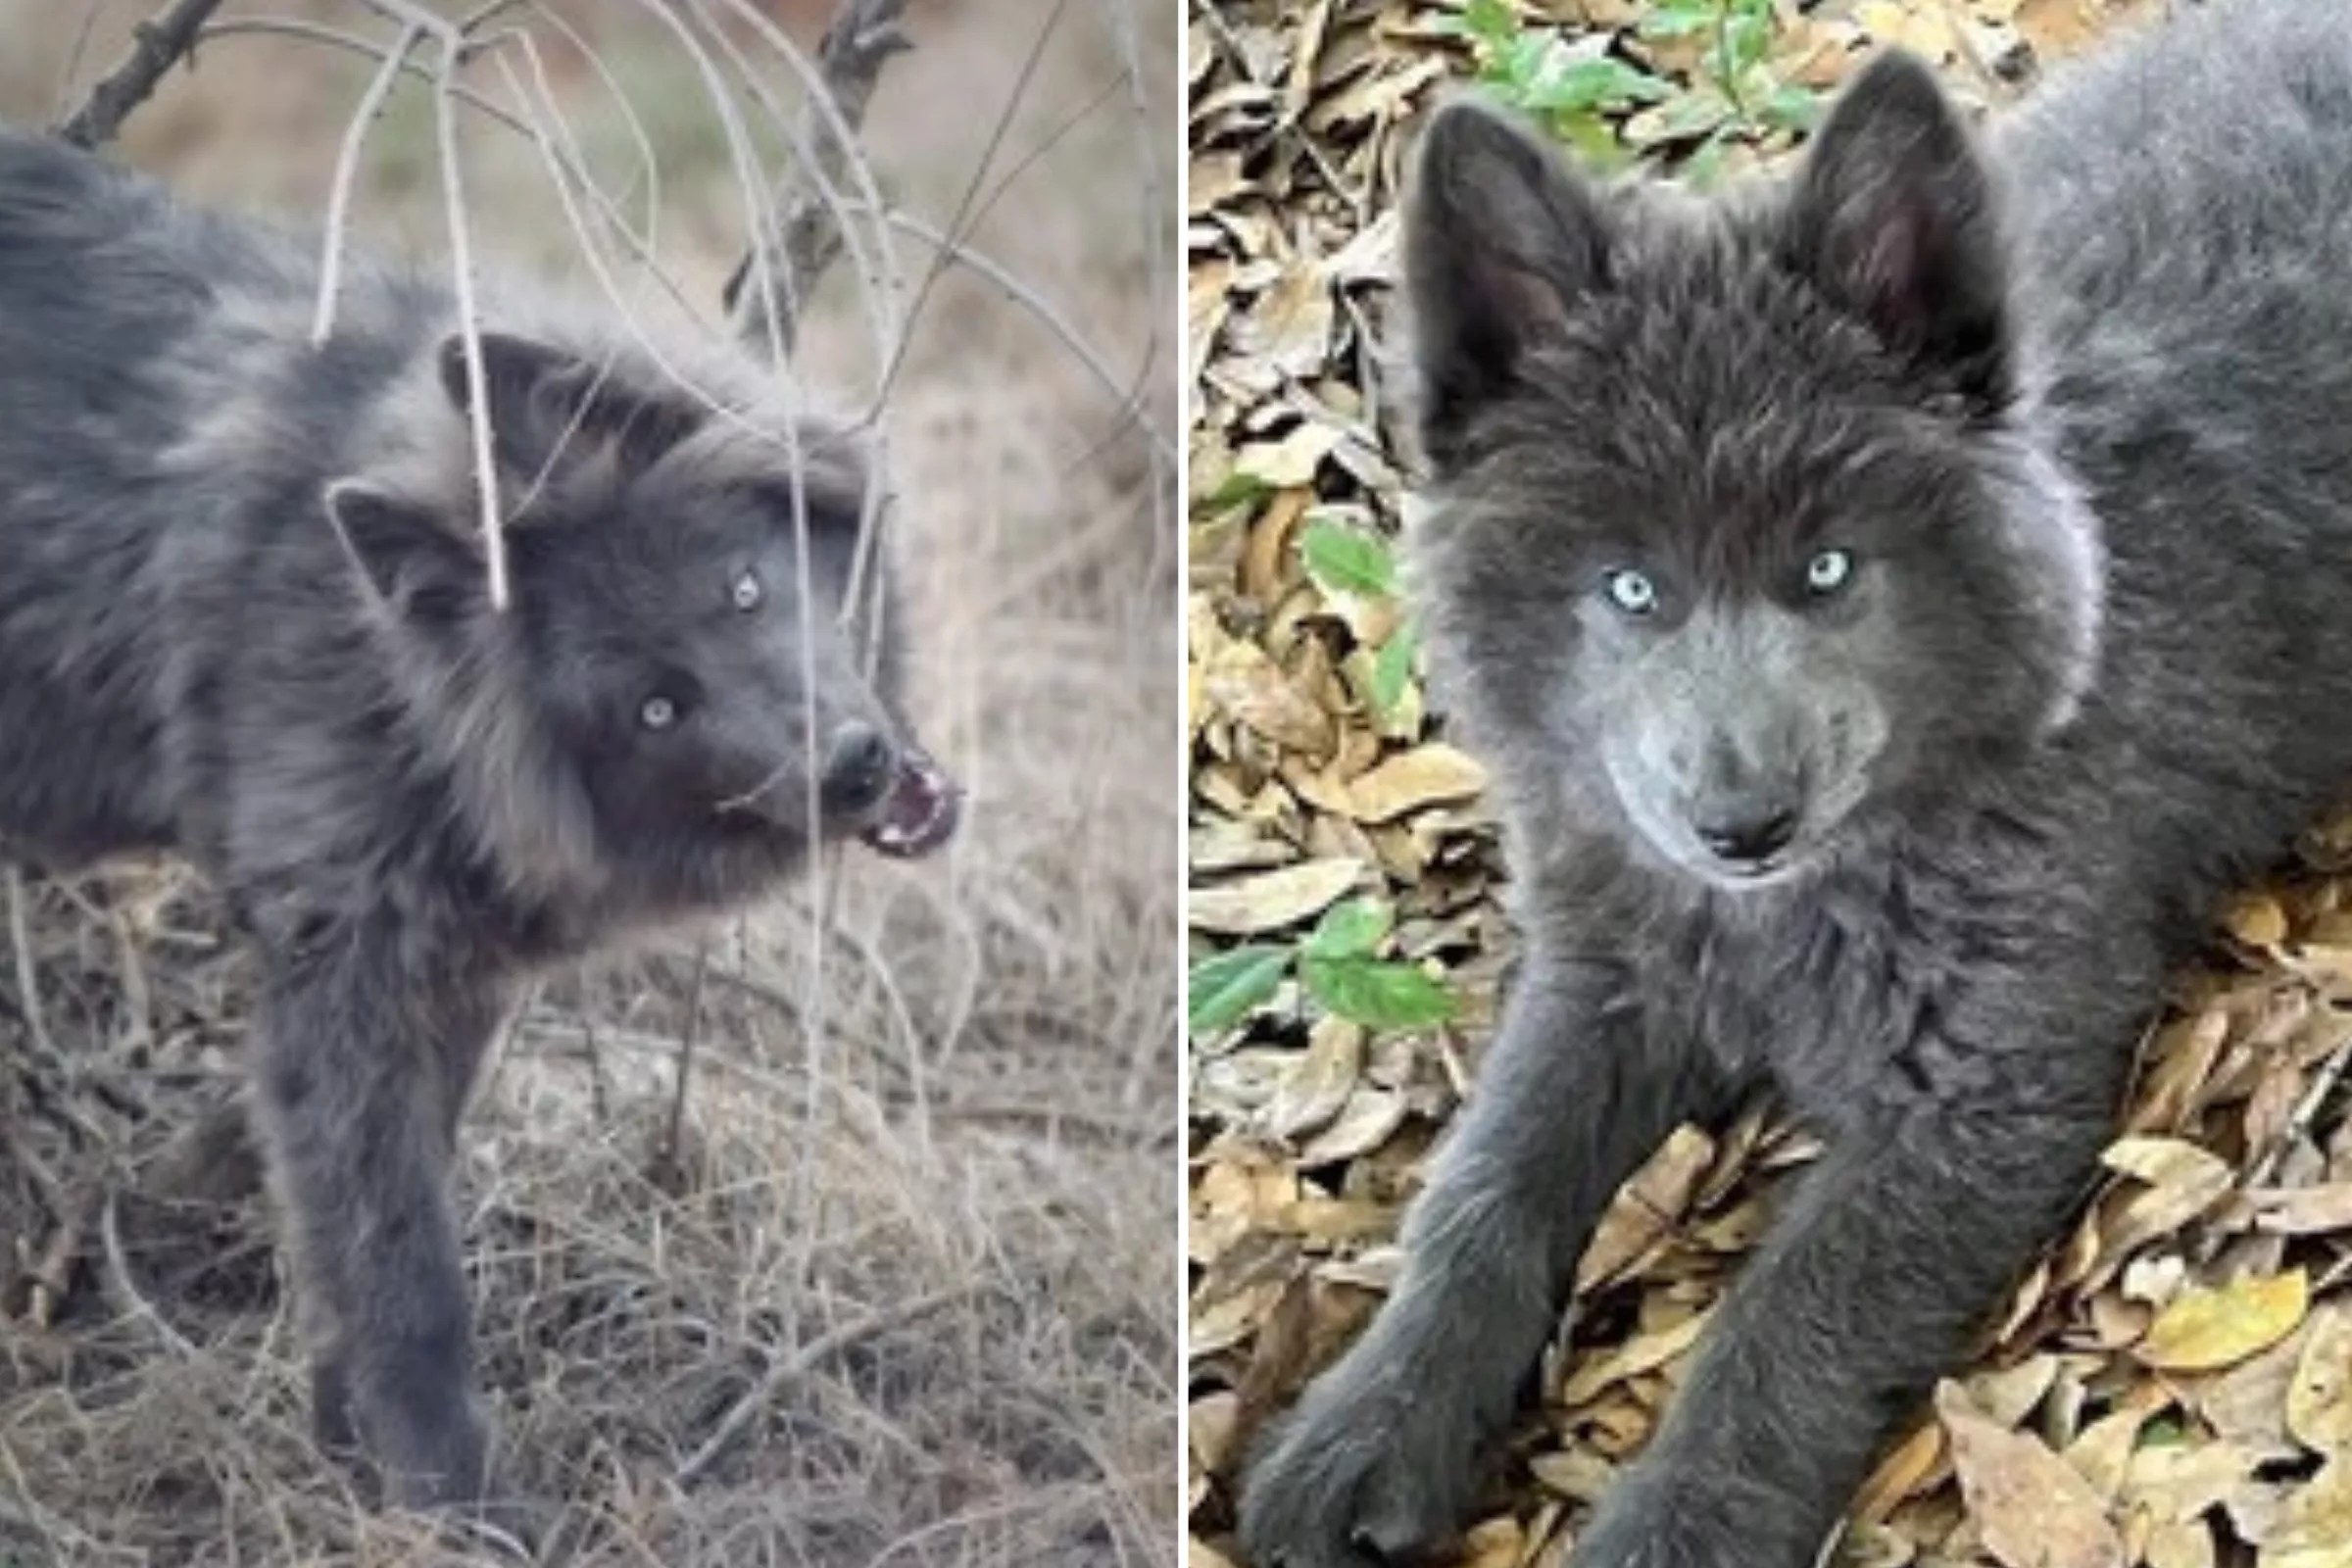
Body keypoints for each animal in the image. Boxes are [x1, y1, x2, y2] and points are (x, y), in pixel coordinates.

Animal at [0, 128, 958, 1515]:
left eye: (742, 590)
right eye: (655, 709)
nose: (853, 765)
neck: (397, 691)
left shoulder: (445, 983)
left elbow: (348, 1224)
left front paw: (337, 1435)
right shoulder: (348, 990)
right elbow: (403, 1270)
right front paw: (454, 1503)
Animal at [1238, 2, 2352, 1564]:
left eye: (1827, 569)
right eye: (1630, 589)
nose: (1741, 822)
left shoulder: (1972, 1093)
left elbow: (1781, 1338)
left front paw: (1667, 1529)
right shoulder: (1605, 970)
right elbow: (1482, 1187)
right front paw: (1368, 1423)